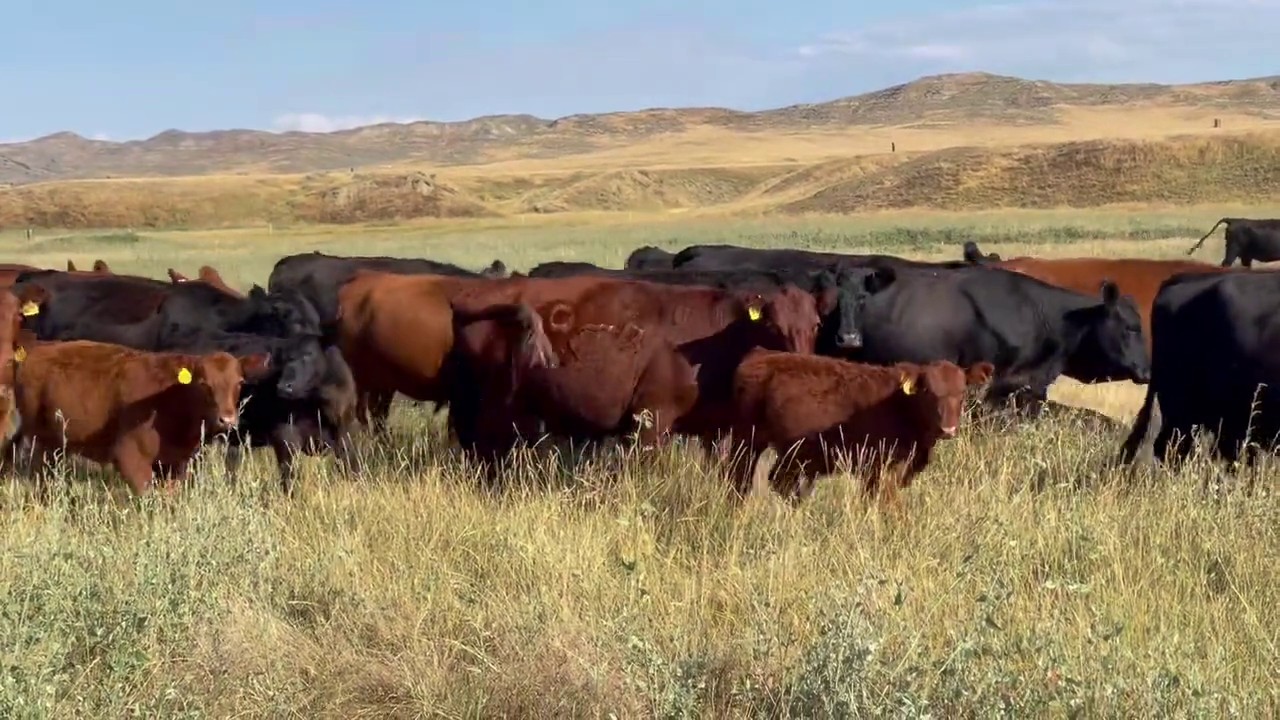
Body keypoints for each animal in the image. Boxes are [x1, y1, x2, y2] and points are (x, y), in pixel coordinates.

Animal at [6, 339, 271, 496]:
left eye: (239, 383)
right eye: (204, 384)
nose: (227, 420)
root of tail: (37, 353)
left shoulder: (175, 464)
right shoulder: (129, 457)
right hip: (42, 442)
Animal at [728, 350, 994, 507]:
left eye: (962, 392)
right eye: (928, 391)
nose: (947, 429)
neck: (900, 404)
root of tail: (760, 355)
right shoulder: (878, 469)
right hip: (747, 443)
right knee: (740, 480)